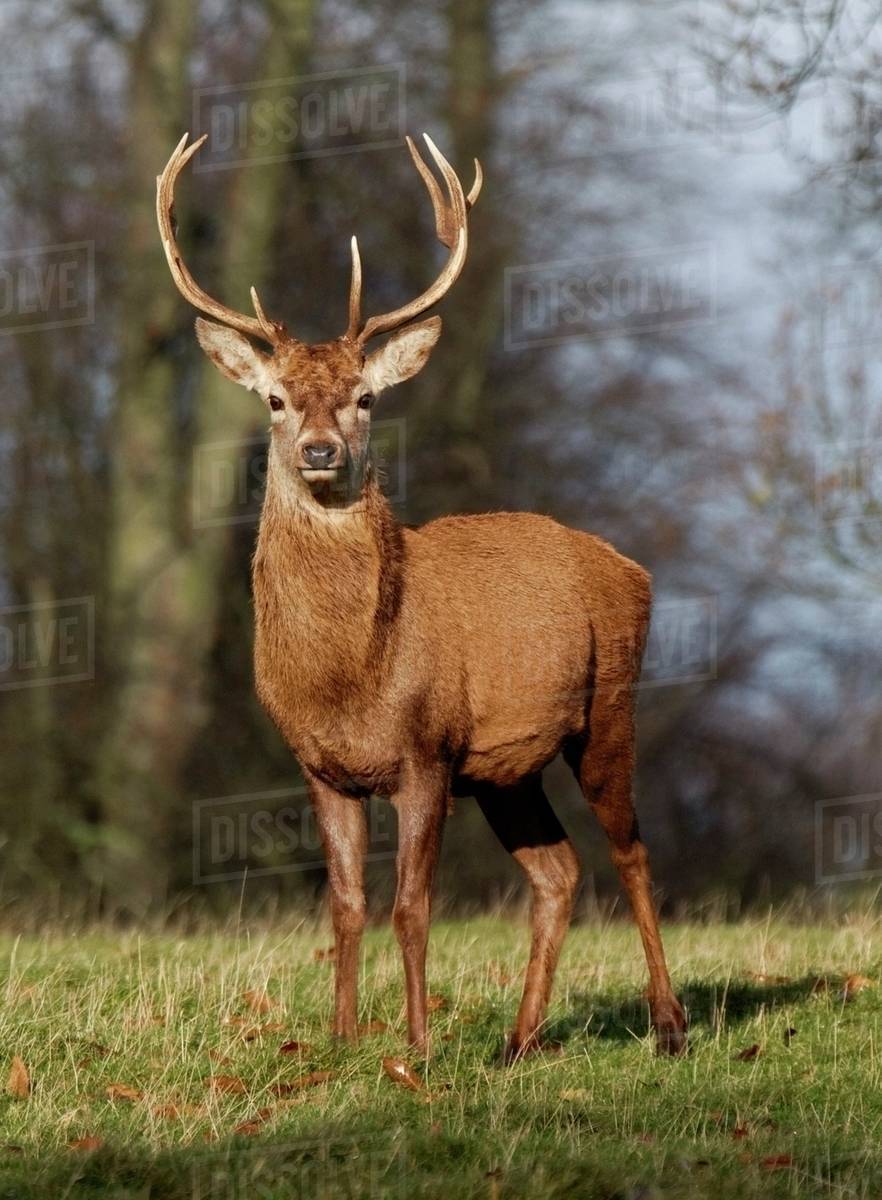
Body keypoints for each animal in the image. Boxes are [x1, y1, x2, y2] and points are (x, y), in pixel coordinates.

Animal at [156, 131, 686, 1060]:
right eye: (275, 398)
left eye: (366, 397)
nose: (322, 451)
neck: (351, 676)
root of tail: (631, 567)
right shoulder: (319, 765)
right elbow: (346, 906)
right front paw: (340, 1042)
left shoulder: (426, 750)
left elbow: (411, 906)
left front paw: (416, 1046)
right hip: (506, 769)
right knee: (559, 871)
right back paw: (518, 1042)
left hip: (609, 707)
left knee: (631, 851)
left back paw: (669, 1025)